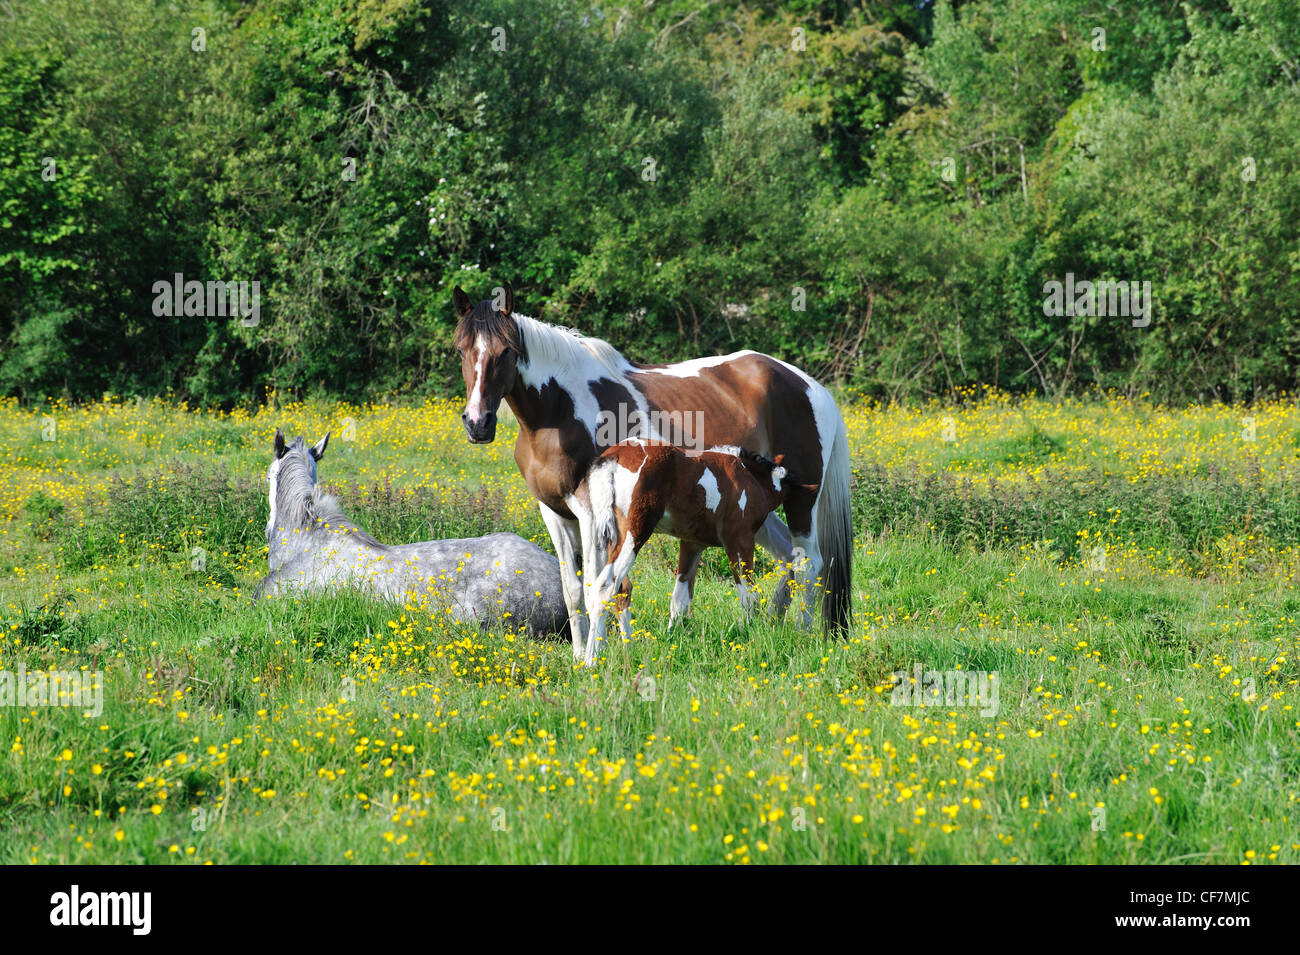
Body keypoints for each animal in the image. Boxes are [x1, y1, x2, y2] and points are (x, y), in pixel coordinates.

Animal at [570, 440, 817, 664]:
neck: (749, 477)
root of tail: (614, 457)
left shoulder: (691, 544)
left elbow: (679, 599)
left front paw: (672, 640)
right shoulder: (739, 541)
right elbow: (749, 596)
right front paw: (751, 633)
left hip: (596, 534)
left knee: (607, 590)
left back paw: (623, 649)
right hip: (634, 533)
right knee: (606, 587)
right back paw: (591, 660)